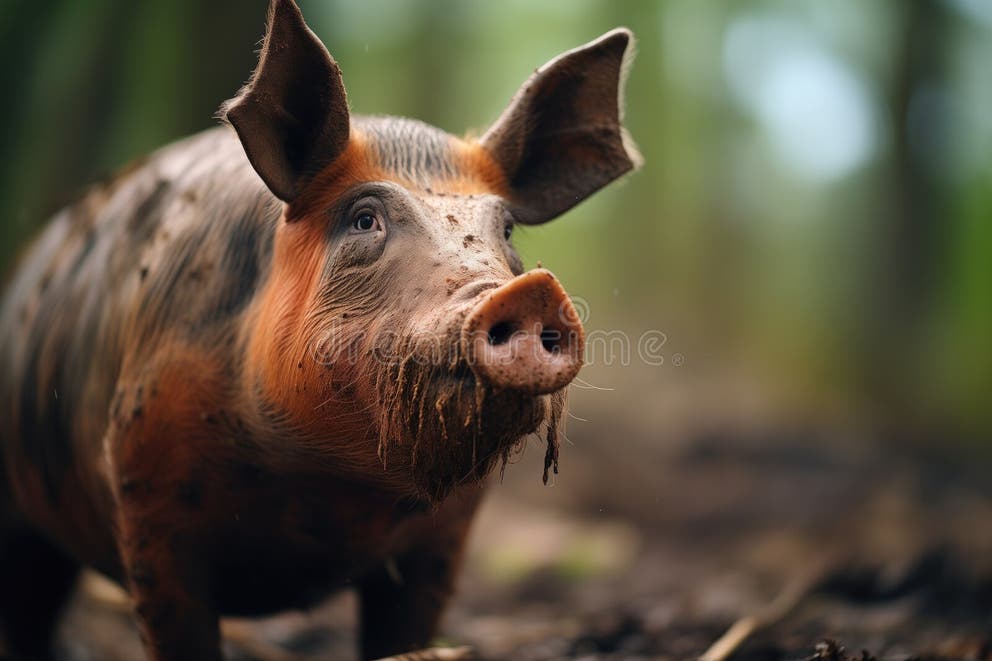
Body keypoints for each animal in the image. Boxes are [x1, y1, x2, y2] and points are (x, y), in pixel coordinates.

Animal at [0, 1, 639, 659]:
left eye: (506, 228)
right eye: (364, 218)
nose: (531, 290)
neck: (326, 482)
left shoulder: (446, 534)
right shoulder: (145, 489)